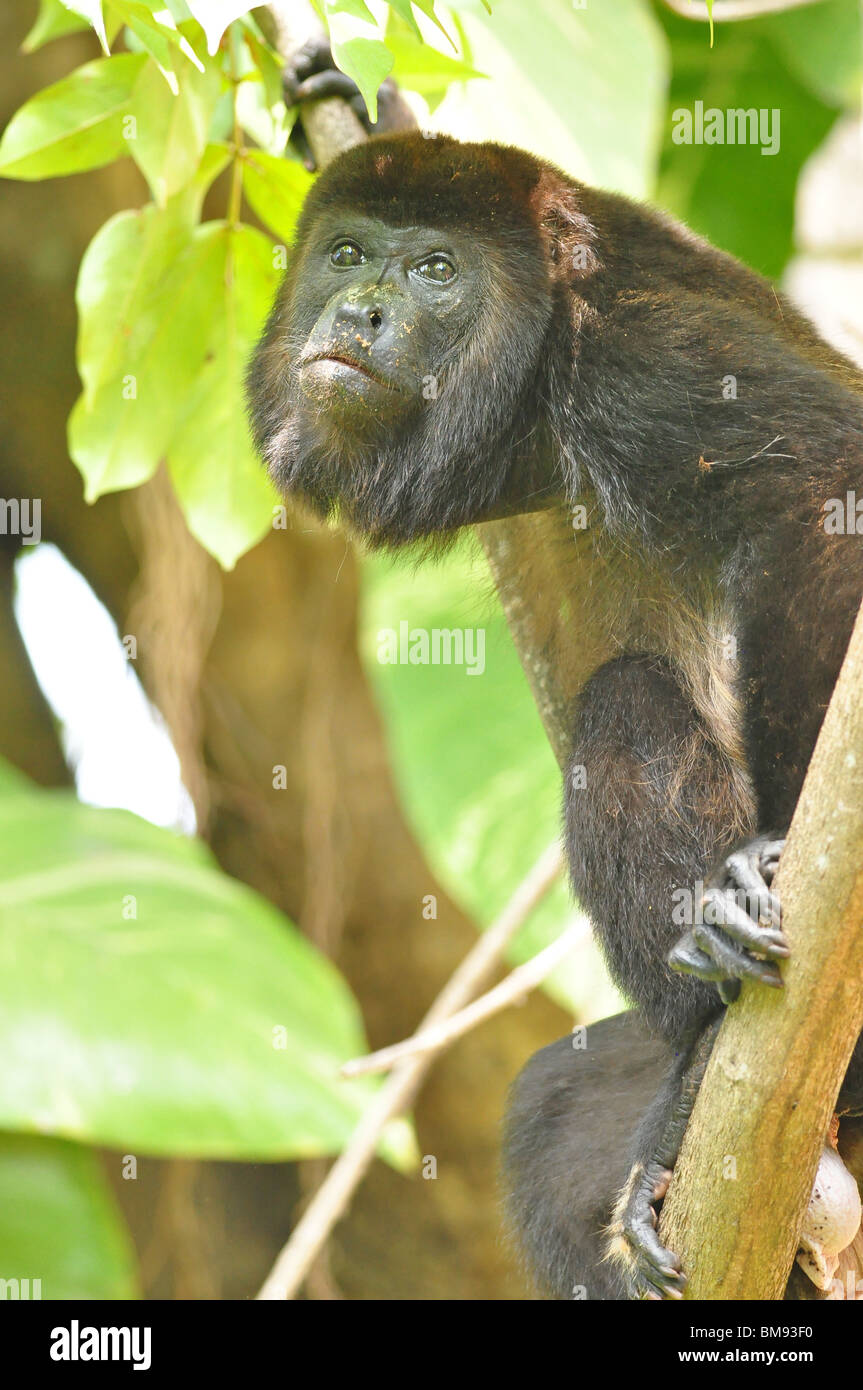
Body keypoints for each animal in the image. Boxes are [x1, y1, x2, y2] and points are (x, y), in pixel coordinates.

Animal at [247, 129, 863, 1298]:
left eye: (435, 270)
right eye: (346, 255)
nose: (359, 313)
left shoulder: (645, 357)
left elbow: (825, 493)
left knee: (620, 696)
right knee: (549, 1096)